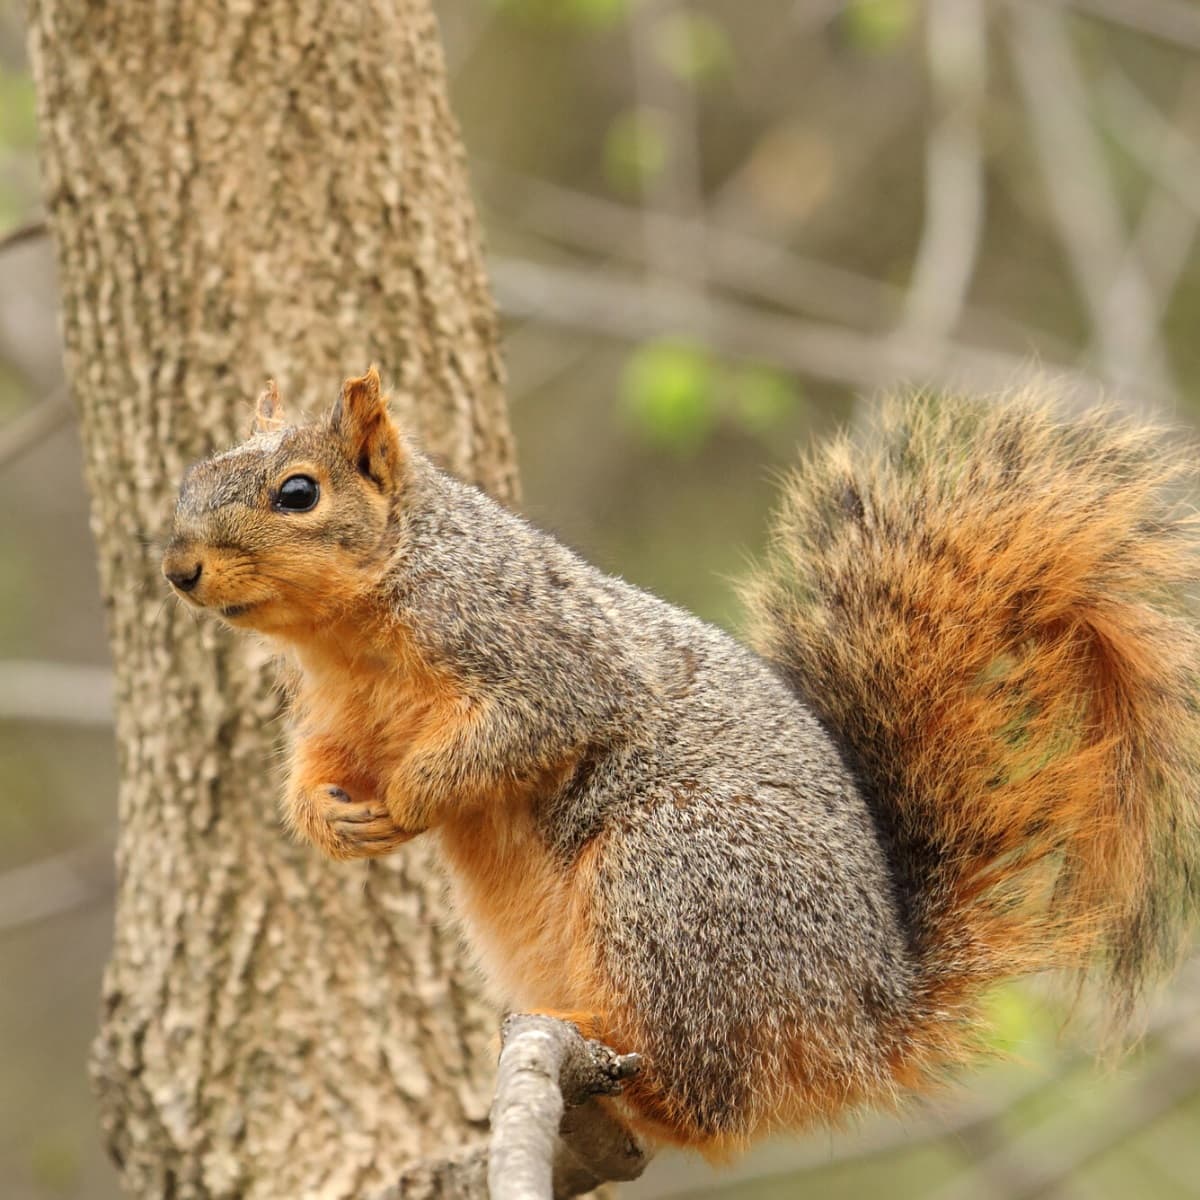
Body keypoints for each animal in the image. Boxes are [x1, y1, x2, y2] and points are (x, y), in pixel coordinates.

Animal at [162, 367, 1200, 1155]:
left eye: (299, 493)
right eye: (187, 480)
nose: (177, 569)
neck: (353, 633)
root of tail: (868, 1014)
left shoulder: (547, 664)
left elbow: (524, 731)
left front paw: (419, 792)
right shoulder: (339, 715)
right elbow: (317, 765)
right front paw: (328, 820)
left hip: (668, 874)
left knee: (709, 1101)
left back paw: (636, 1078)